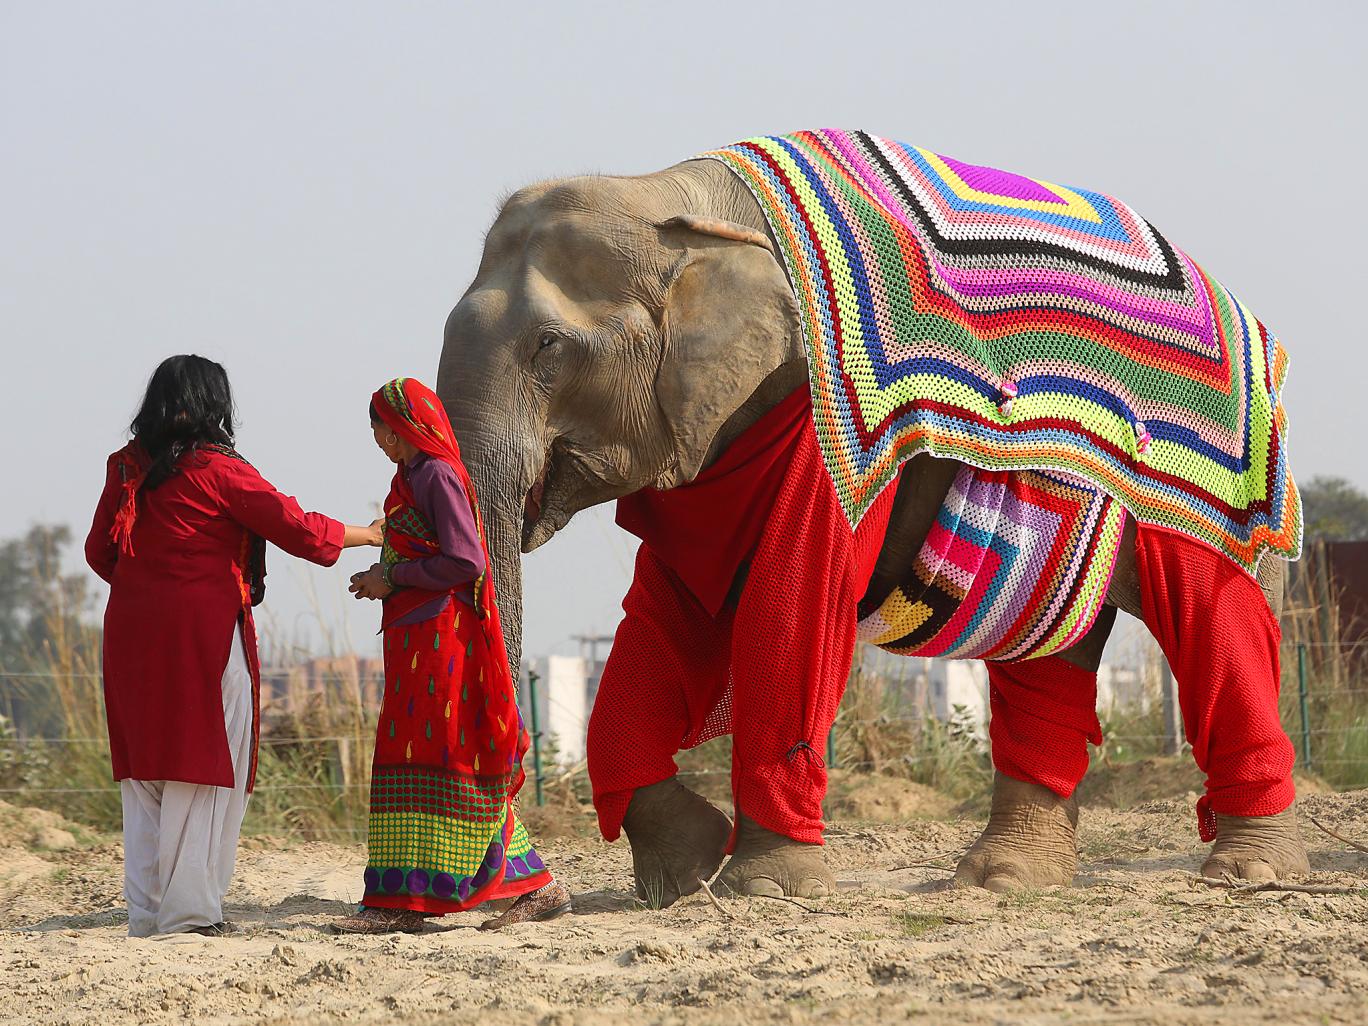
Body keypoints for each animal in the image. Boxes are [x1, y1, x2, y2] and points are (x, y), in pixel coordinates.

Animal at [435, 143, 1310, 903]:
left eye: (549, 347)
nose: (526, 899)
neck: (671, 194)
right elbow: (667, 611)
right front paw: (687, 874)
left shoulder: (820, 424)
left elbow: (790, 604)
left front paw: (765, 890)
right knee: (1048, 655)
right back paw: (1003, 882)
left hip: (1220, 487)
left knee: (1218, 621)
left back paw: (1251, 873)